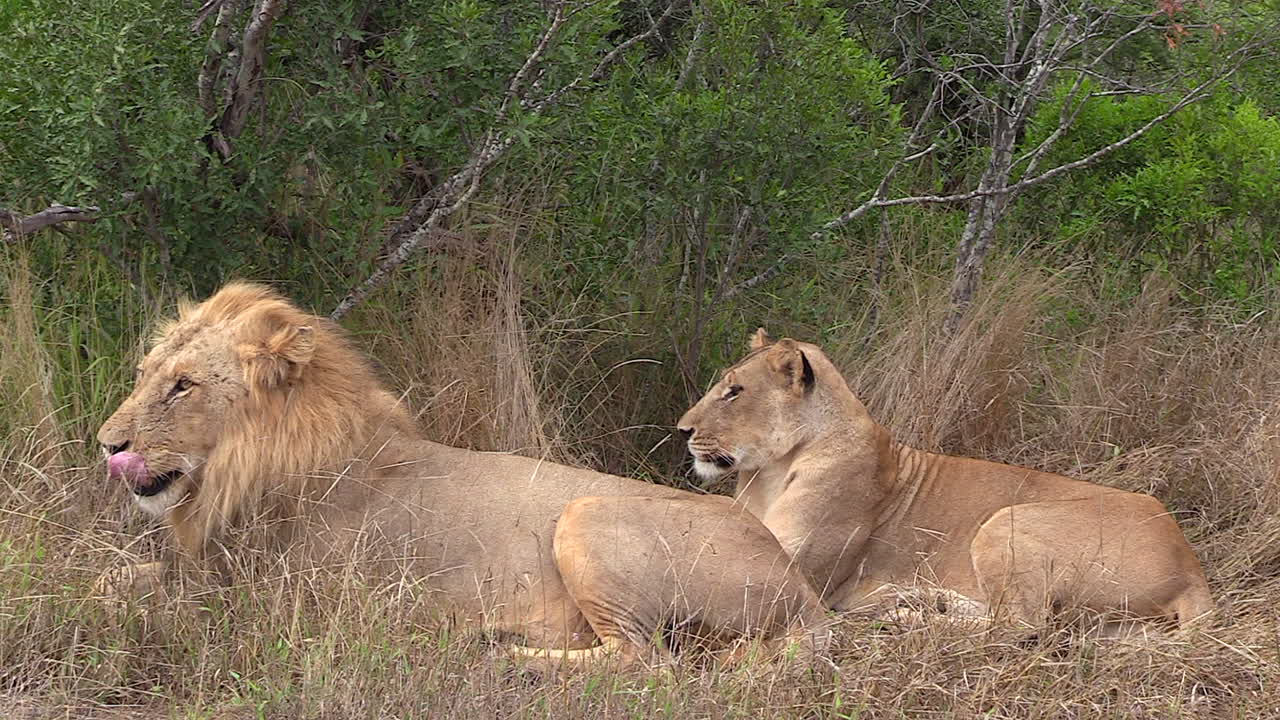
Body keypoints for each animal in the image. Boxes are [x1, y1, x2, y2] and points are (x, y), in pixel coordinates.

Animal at [95, 284, 830, 667]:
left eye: (183, 386)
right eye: (146, 373)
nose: (107, 446)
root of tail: (802, 589)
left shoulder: (274, 605)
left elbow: (146, 604)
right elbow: (113, 578)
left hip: (587, 512)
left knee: (642, 661)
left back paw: (502, 651)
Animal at [675, 329, 1214, 632]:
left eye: (734, 392)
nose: (682, 431)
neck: (767, 472)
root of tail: (1191, 567)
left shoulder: (795, 566)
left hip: (1007, 522)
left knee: (1021, 628)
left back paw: (904, 619)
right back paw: (917, 602)